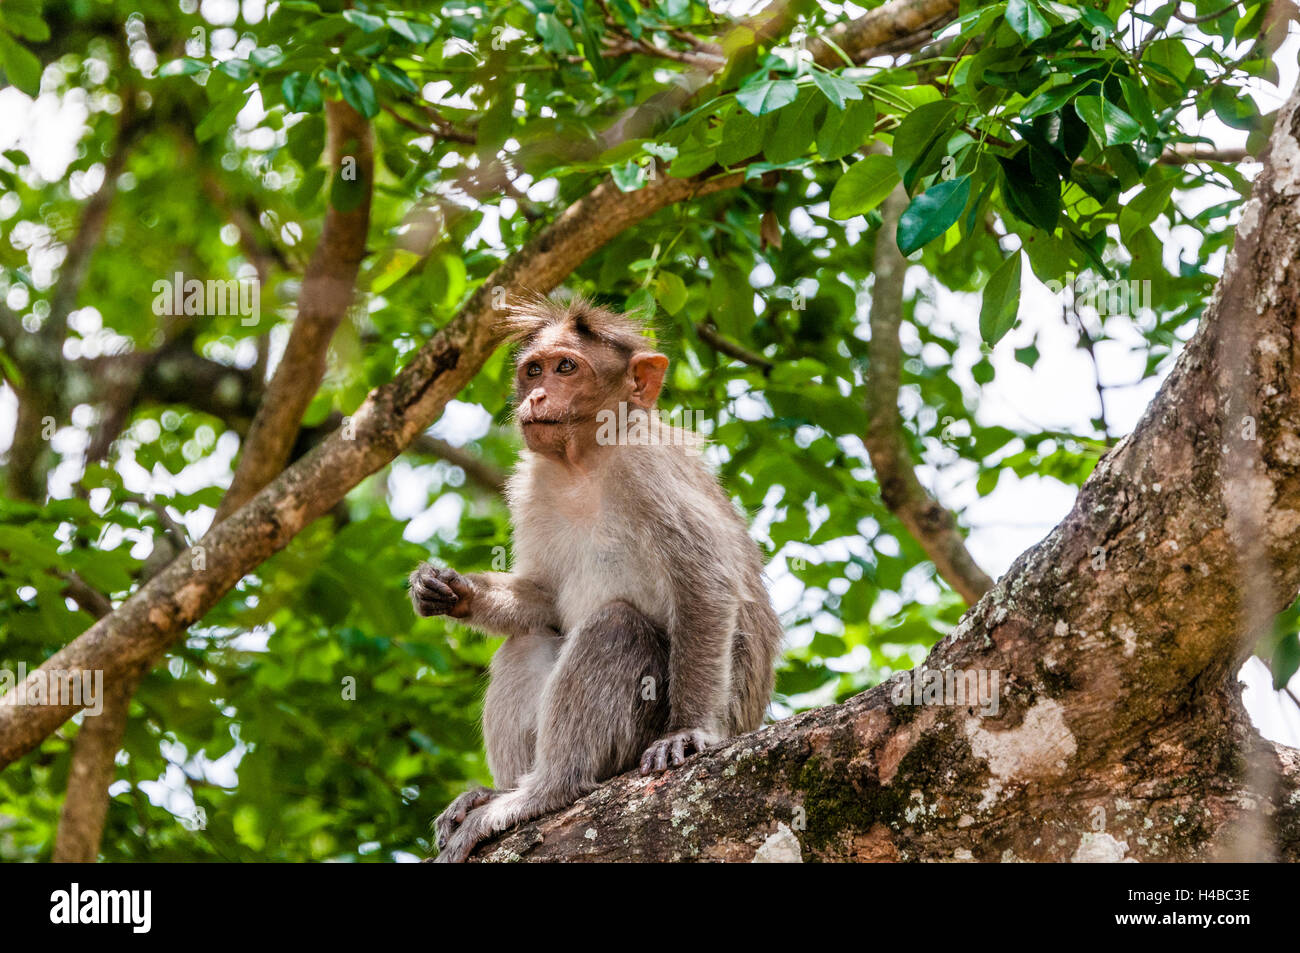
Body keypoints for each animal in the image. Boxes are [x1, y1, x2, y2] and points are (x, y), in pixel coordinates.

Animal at [409, 294, 783, 862]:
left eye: (567, 368)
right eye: (534, 369)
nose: (537, 395)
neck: (582, 463)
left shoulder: (647, 468)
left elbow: (706, 585)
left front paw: (688, 731)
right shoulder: (532, 483)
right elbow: (543, 597)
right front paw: (450, 590)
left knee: (616, 627)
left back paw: (542, 792)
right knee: (529, 639)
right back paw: (500, 791)